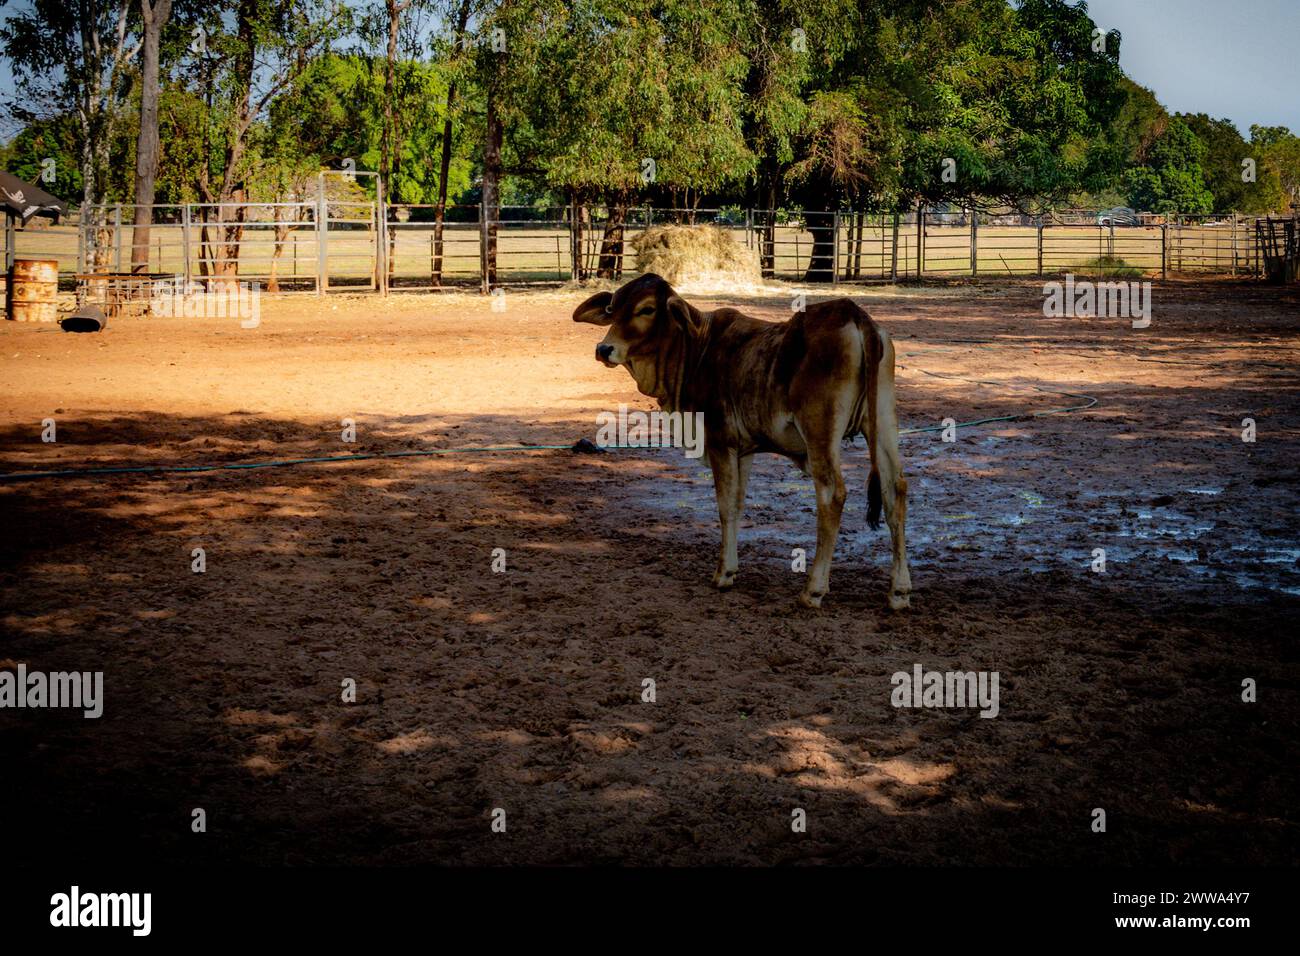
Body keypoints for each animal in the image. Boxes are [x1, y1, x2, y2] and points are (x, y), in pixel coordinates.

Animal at [574, 273, 911, 610]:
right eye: (612, 308)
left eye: (646, 309)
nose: (604, 348)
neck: (695, 349)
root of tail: (854, 314)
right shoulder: (743, 450)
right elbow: (737, 504)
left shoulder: (720, 442)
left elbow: (725, 507)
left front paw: (723, 573)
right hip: (882, 423)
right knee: (894, 489)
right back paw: (899, 590)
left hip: (820, 433)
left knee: (833, 495)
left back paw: (813, 589)